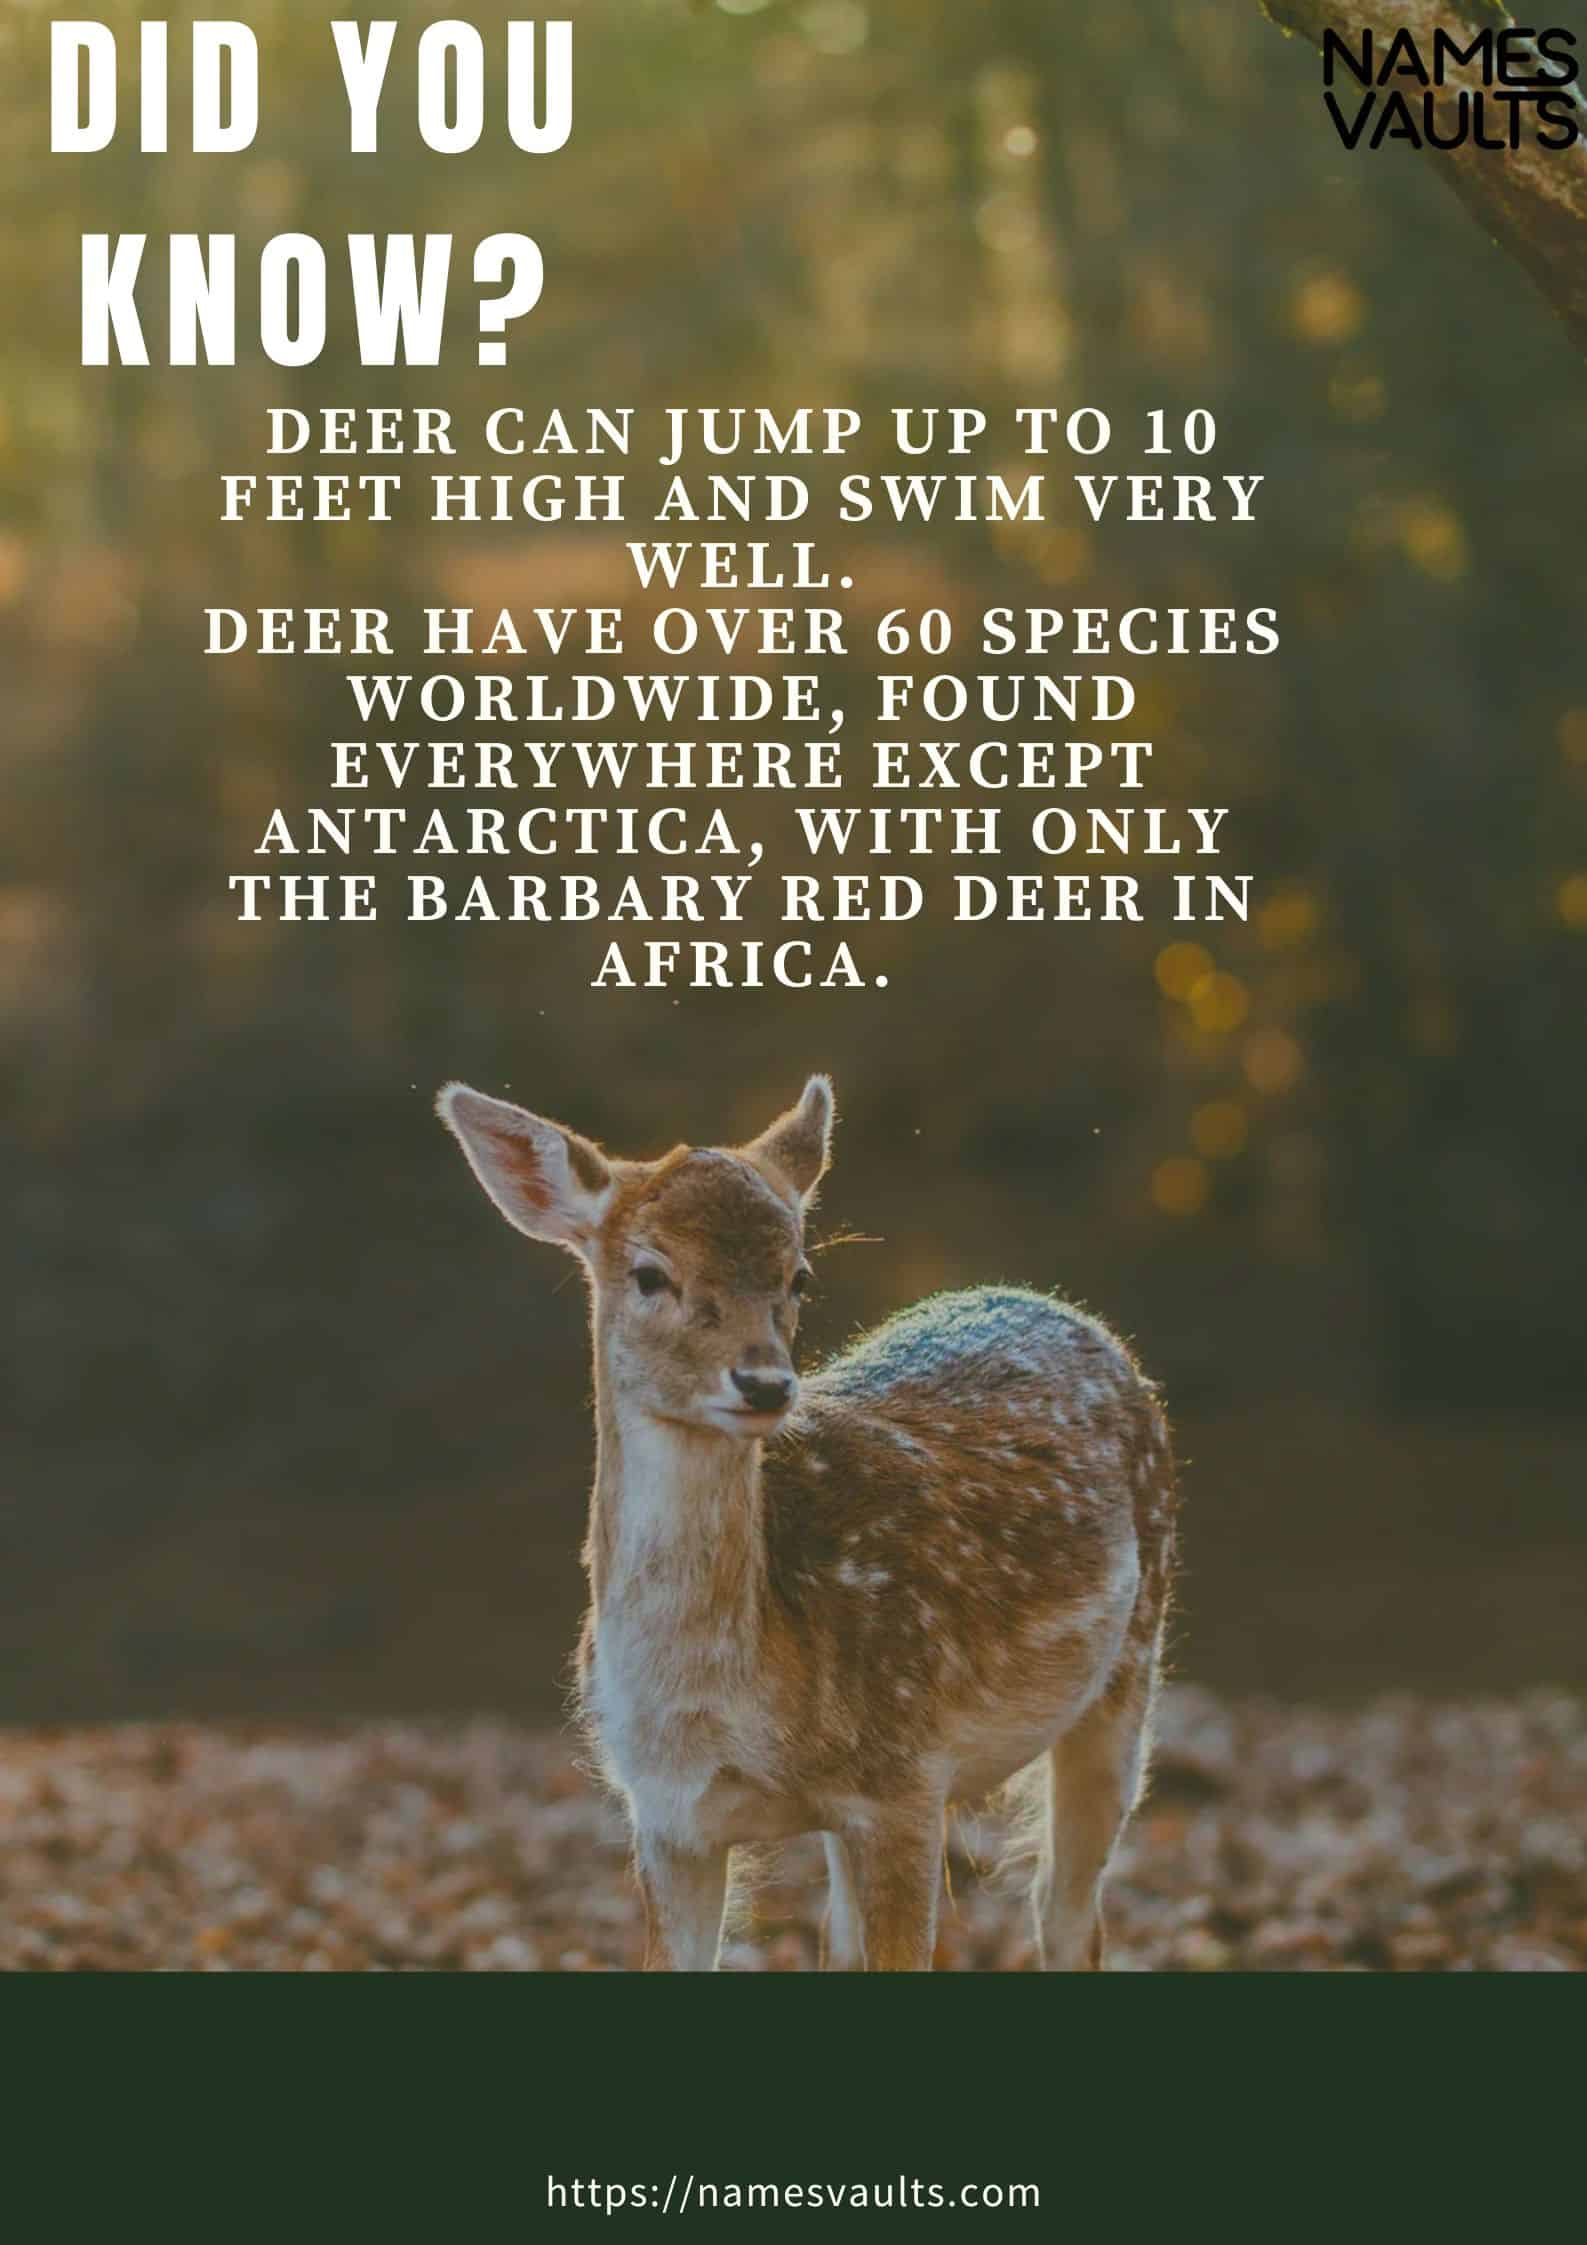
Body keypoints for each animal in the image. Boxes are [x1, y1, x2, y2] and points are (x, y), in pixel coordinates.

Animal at [438, 1074, 1178, 1971]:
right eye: (648, 1273)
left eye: (799, 1277)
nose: (763, 1382)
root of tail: (1051, 1303)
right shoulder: (665, 1817)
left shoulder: (906, 1775)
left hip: (1131, 1662)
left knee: (1063, 1909)